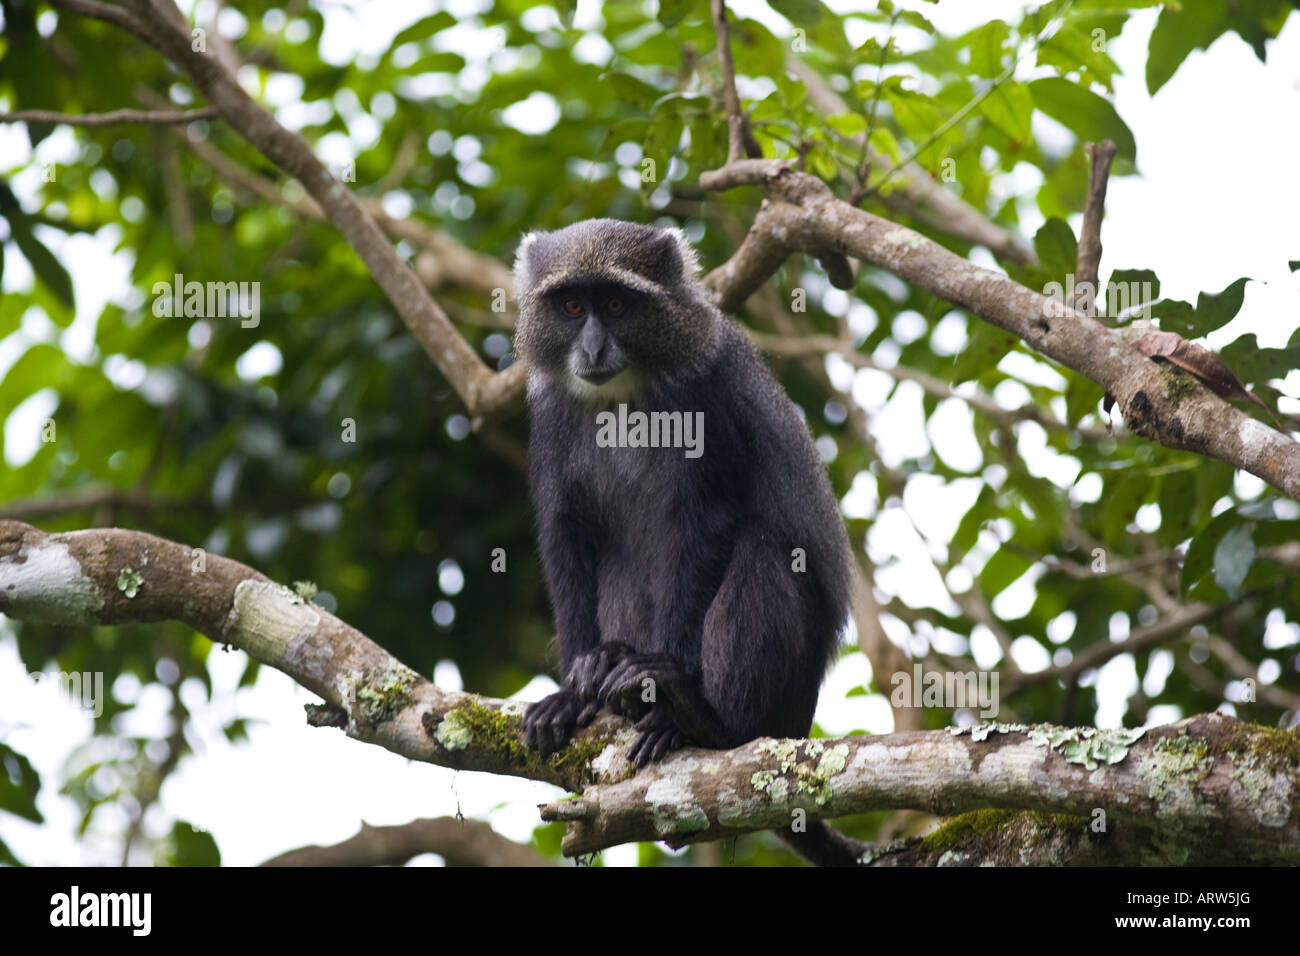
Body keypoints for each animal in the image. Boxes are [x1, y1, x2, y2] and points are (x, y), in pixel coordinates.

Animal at [513, 218, 866, 866]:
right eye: (573, 306)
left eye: (617, 305)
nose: (592, 350)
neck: (622, 397)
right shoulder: (550, 417)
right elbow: (565, 537)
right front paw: (572, 690)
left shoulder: (704, 399)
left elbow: (707, 527)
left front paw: (665, 684)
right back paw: (612, 665)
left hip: (787, 709)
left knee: (762, 549)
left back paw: (706, 720)